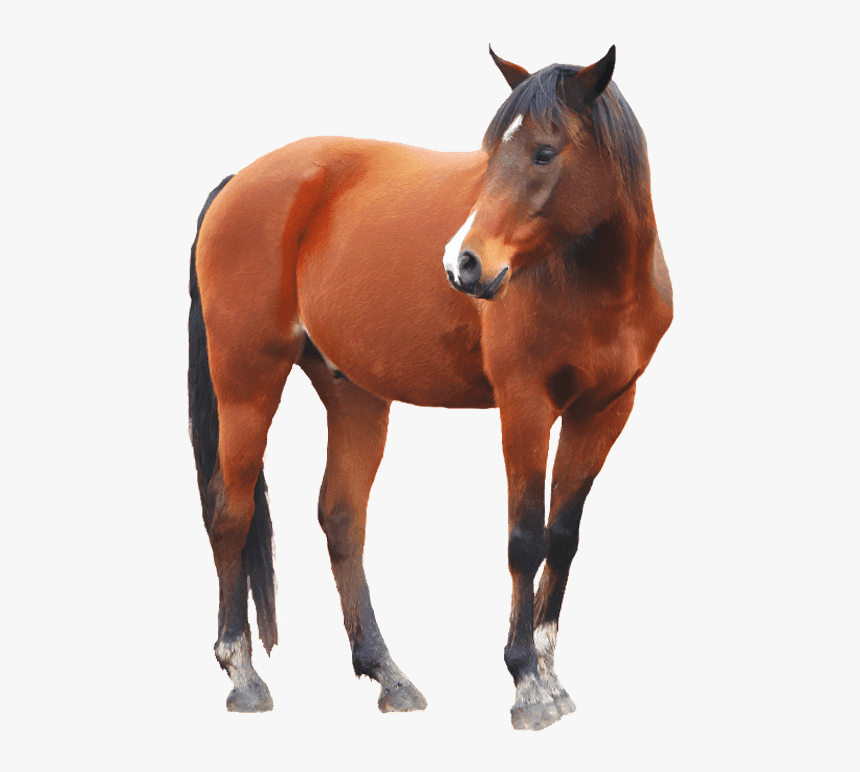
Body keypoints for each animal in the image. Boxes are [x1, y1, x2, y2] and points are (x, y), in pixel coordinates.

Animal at [188, 44, 672, 731]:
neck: (591, 281)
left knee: (342, 518)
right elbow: (525, 538)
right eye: (492, 153)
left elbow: (563, 536)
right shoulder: (524, 407)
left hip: (353, 392)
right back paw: (244, 675)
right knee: (230, 511)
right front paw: (527, 682)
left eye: (544, 152)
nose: (463, 264)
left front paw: (550, 672)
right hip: (247, 378)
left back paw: (387, 674)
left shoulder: (604, 411)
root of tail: (238, 181)